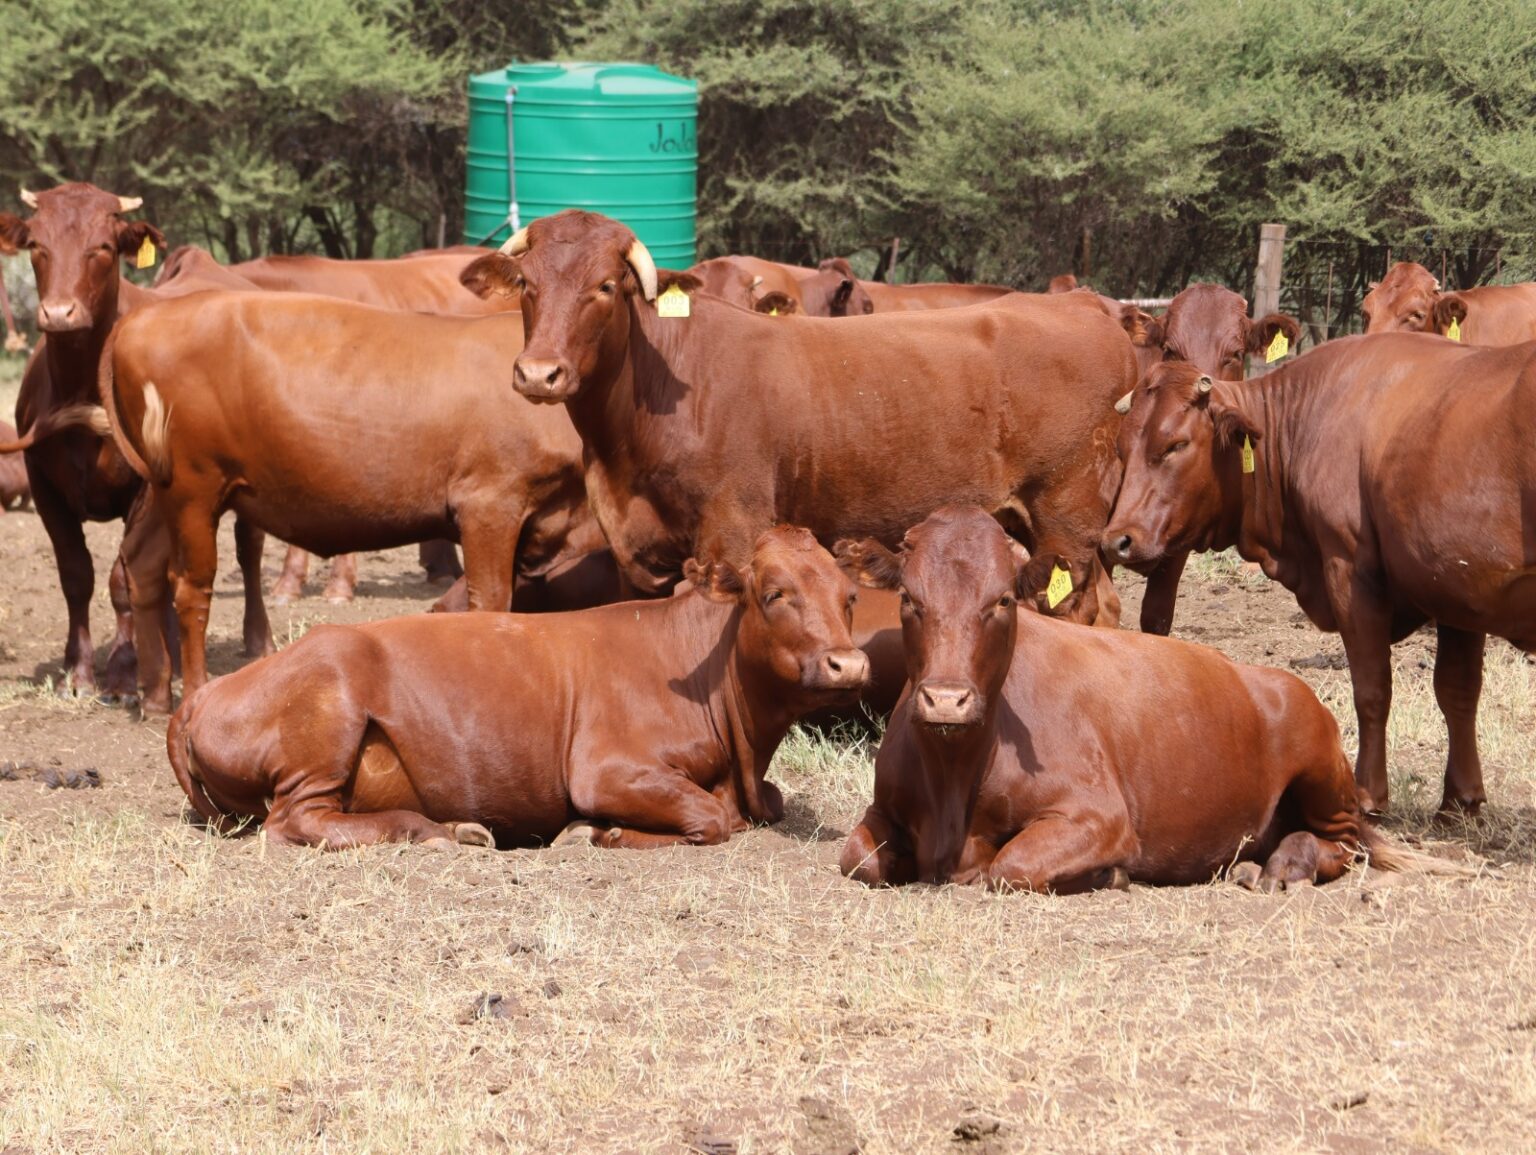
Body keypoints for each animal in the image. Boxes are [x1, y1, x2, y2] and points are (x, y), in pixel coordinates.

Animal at [99, 290, 588, 711]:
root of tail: (141, 317)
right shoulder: (490, 504)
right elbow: (490, 603)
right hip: (194, 489)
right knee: (190, 587)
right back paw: (194, 690)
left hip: (165, 491)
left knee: (142, 565)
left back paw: (156, 694)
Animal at [165, 527, 870, 850]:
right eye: (774, 594)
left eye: (849, 596)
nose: (849, 665)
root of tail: (203, 692)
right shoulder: (604, 768)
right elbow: (714, 818)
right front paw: (599, 832)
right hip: (327, 720)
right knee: (294, 821)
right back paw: (437, 831)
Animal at [459, 210, 1138, 623]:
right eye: (527, 284)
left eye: (605, 286)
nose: (539, 373)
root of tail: (1087, 304)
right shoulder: (633, 549)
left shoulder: (732, 531)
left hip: (1067, 520)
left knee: (1081, 605)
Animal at [839, 505, 1422, 892]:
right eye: (908, 598)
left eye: (1002, 600)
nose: (945, 700)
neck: (953, 773)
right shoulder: (882, 808)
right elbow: (857, 858)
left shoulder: (1098, 816)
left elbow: (1009, 866)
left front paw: (1107, 873)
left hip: (1321, 766)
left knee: (1346, 839)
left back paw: (1288, 863)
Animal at [1101, 344, 1536, 816]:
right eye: (1123, 448)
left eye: (1176, 445)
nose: (1116, 541)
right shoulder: (1453, 584)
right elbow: (1458, 691)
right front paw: (1460, 798)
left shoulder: (1349, 569)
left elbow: (1372, 688)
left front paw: (1368, 793)